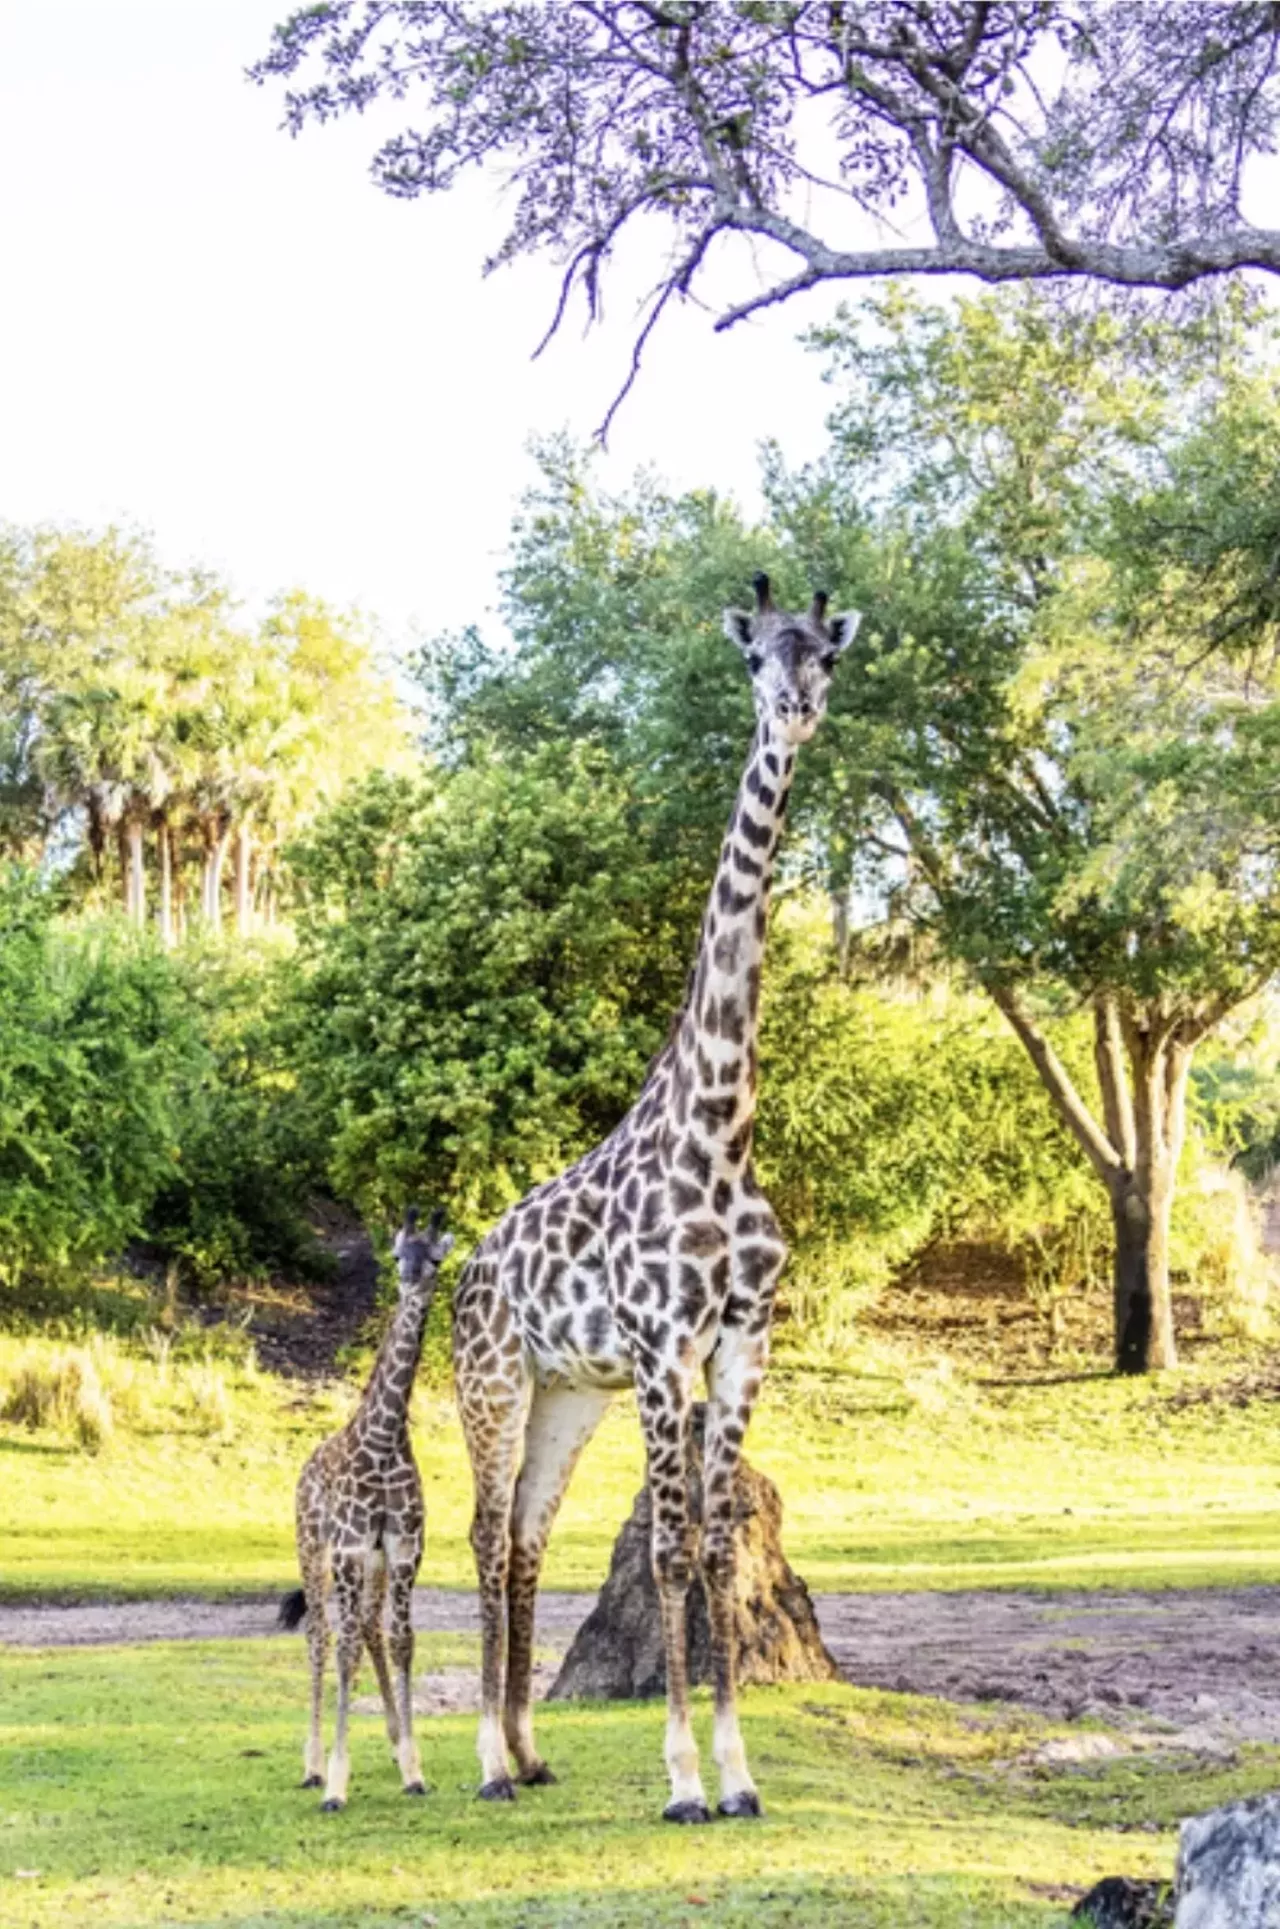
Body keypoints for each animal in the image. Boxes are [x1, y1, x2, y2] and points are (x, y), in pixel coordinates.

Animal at [278, 1206, 454, 1811]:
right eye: (399, 1251)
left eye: (436, 1257)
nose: (410, 1278)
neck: (382, 1440)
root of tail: (305, 1467)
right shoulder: (351, 1546)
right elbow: (345, 1647)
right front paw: (336, 1781)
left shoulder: (401, 1546)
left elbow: (401, 1641)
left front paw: (415, 1770)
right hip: (313, 1548)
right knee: (321, 1635)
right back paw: (309, 1766)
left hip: (372, 1565)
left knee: (374, 1628)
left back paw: (396, 1746)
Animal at [452, 574, 860, 1821]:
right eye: (753, 658)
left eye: (825, 654)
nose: (793, 711)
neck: (720, 1126)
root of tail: (467, 1269)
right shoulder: (660, 1344)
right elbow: (668, 1548)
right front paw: (682, 1778)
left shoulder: (741, 1341)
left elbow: (717, 1547)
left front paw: (738, 1774)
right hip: (491, 1381)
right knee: (481, 1531)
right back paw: (483, 1763)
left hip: (564, 1395)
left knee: (527, 1537)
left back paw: (529, 1750)